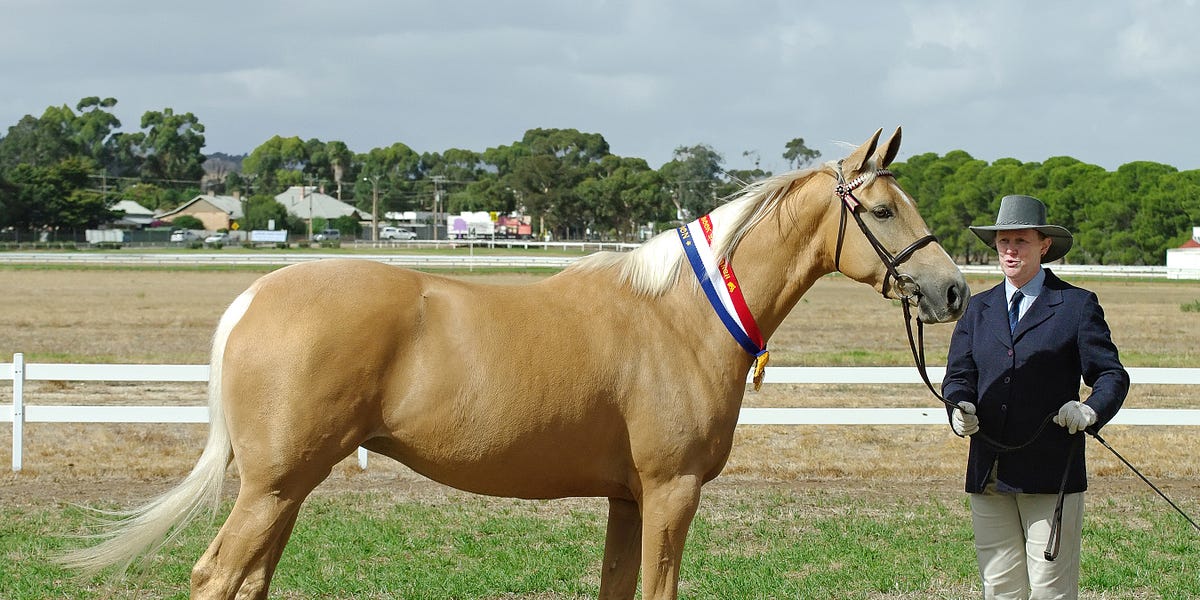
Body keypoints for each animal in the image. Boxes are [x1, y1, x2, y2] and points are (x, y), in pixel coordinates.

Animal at [62, 127, 968, 599]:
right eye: (883, 208)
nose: (953, 289)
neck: (682, 315)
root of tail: (258, 295)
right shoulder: (670, 491)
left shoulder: (628, 499)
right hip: (275, 486)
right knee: (217, 577)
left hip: (285, 487)